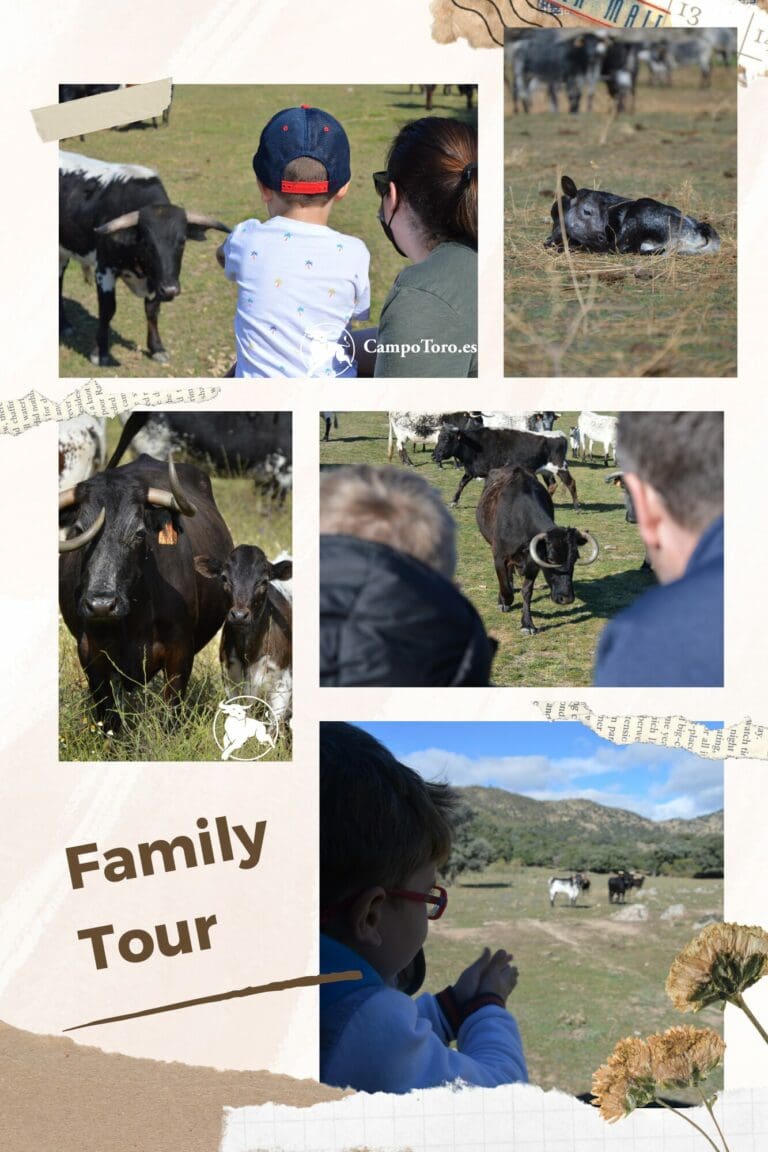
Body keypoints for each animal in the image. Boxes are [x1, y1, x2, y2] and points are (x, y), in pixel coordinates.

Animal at [59, 151, 230, 366]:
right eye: (147, 243)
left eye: (182, 241)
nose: (171, 290)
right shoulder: (104, 268)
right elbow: (107, 309)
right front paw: (100, 352)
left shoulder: (157, 279)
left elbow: (152, 309)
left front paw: (157, 348)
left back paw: (63, 324)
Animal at [59, 454, 233, 732]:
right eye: (79, 530)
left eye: (139, 533)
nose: (101, 605)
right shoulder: (89, 652)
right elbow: (108, 716)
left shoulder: (180, 652)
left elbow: (171, 712)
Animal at [432, 425, 579, 508]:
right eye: (438, 438)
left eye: (446, 439)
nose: (433, 456)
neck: (475, 444)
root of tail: (559, 434)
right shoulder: (471, 470)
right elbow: (461, 484)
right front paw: (453, 502)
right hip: (546, 471)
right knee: (552, 485)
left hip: (560, 467)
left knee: (571, 483)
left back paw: (576, 506)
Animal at [475, 466, 598, 634]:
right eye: (551, 559)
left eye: (574, 559)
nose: (566, 598)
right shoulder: (499, 557)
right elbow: (505, 586)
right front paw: (504, 601)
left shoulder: (534, 563)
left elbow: (527, 591)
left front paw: (527, 624)